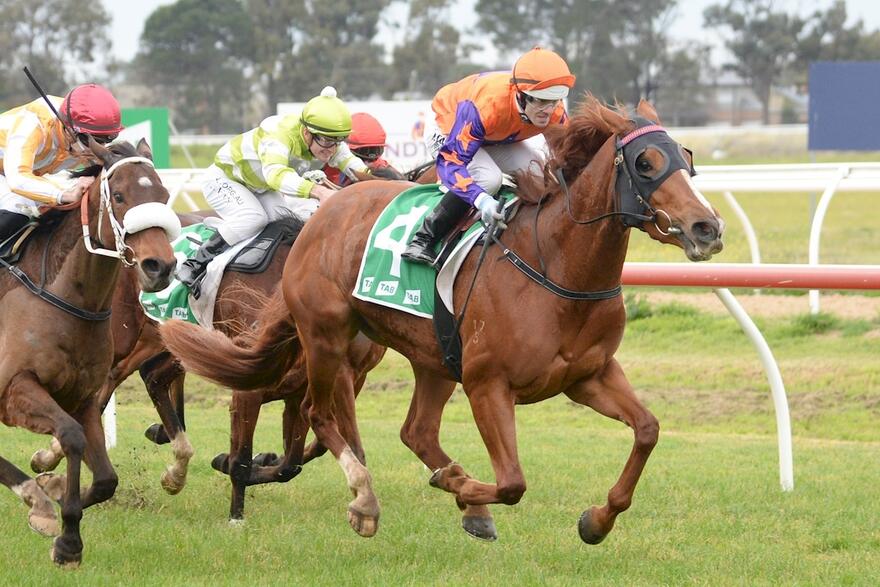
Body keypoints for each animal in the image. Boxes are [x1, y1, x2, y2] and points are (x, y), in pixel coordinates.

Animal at [0, 139, 178, 566]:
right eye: (120, 196)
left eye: (164, 195)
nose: (160, 266)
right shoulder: (13, 389)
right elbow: (70, 436)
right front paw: (58, 525)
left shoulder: (83, 396)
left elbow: (106, 480)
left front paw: (57, 498)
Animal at [159, 96, 723, 544]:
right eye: (646, 162)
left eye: (688, 157)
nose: (707, 227)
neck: (556, 268)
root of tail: (325, 212)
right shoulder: (487, 383)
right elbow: (513, 482)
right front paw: (458, 487)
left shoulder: (588, 375)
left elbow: (647, 430)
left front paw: (596, 520)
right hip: (325, 337)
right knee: (322, 414)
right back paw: (366, 500)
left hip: (430, 356)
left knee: (415, 432)